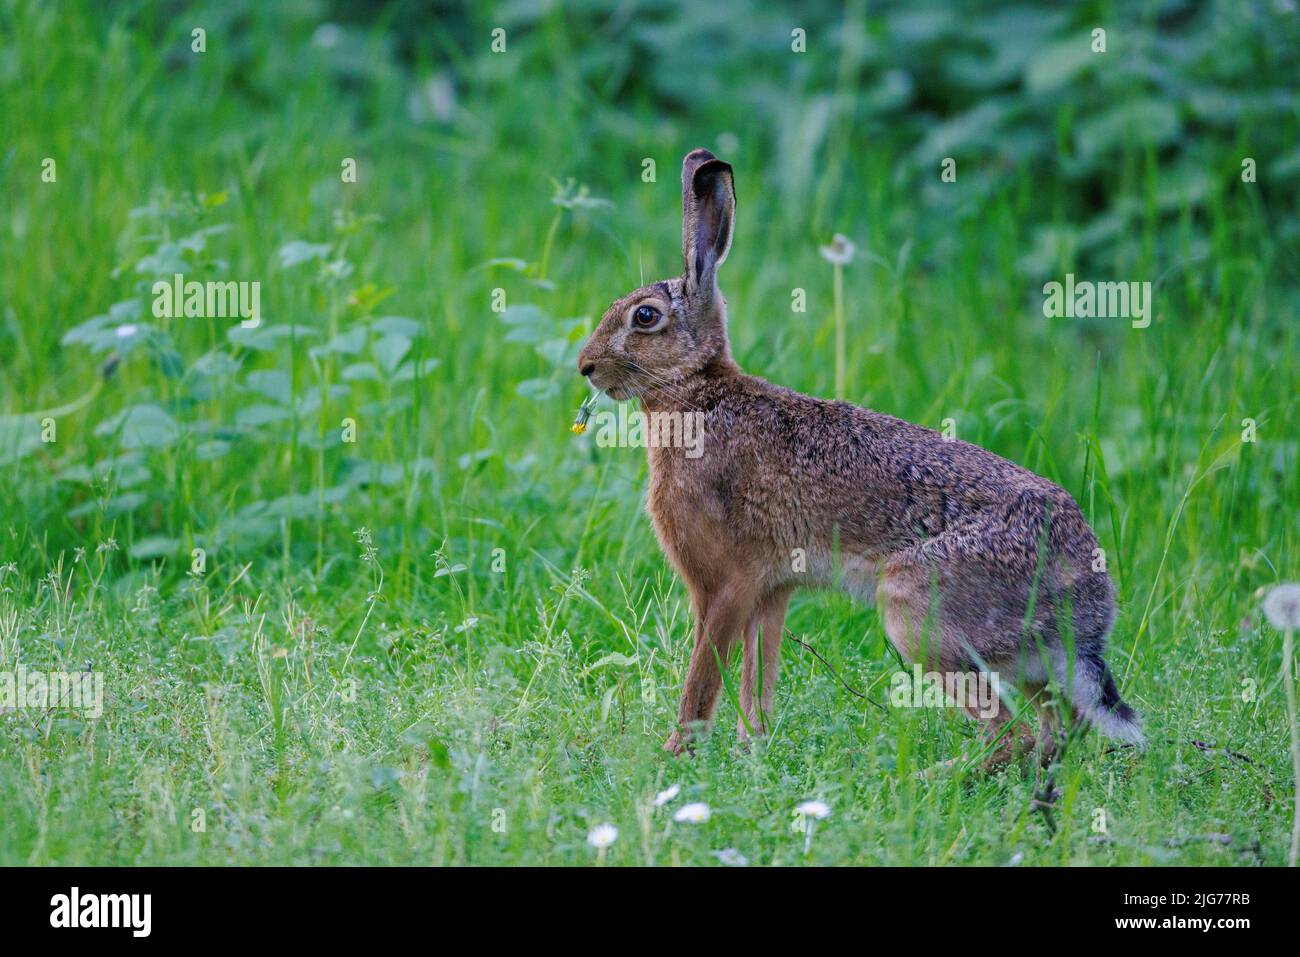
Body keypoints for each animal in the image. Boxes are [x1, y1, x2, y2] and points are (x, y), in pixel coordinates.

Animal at [576, 149, 1143, 767]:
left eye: (645, 317)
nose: (585, 366)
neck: (696, 390)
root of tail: (1086, 606)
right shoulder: (769, 591)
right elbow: (756, 684)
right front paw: (755, 754)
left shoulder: (722, 585)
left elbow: (703, 680)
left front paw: (677, 754)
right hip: (1021, 660)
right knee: (1058, 726)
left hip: (916, 613)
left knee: (1011, 728)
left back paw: (937, 776)